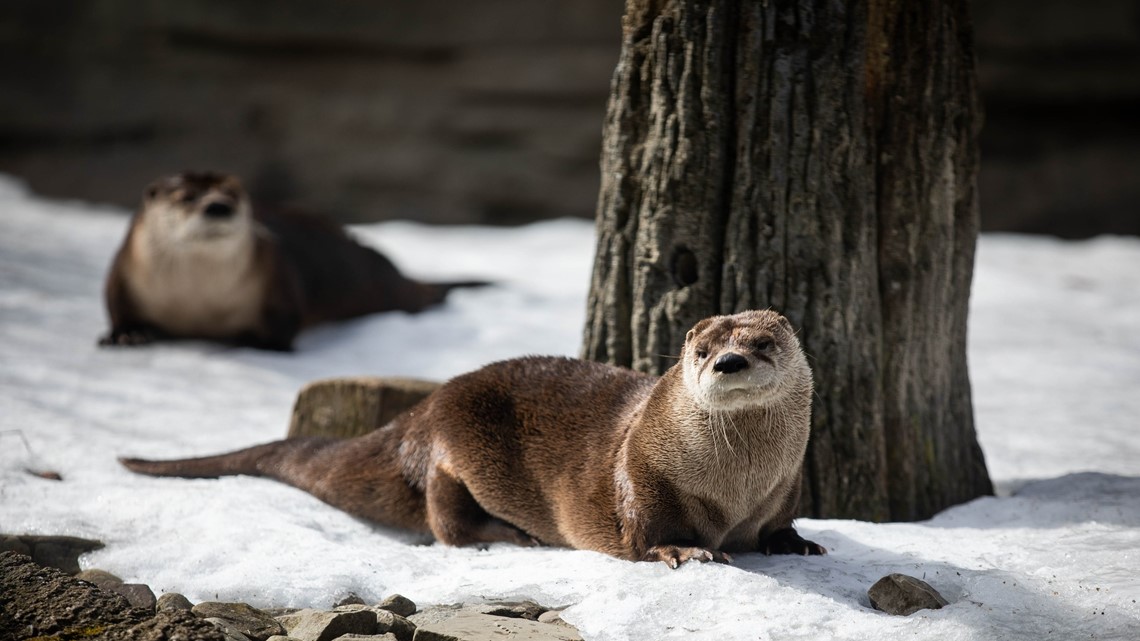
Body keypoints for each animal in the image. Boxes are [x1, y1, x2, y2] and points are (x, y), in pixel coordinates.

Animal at [99, 172, 486, 351]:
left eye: (234, 195)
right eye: (185, 197)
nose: (219, 206)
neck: (195, 304)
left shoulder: (277, 283)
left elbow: (283, 324)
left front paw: (249, 341)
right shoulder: (122, 273)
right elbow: (116, 305)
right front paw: (127, 334)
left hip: (383, 285)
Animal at [121, 310, 825, 567]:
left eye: (762, 343)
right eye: (702, 352)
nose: (728, 362)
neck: (736, 486)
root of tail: (424, 407)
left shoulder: (788, 481)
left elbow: (778, 523)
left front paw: (793, 542)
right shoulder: (645, 467)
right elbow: (647, 529)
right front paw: (683, 550)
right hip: (458, 445)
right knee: (444, 517)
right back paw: (504, 535)